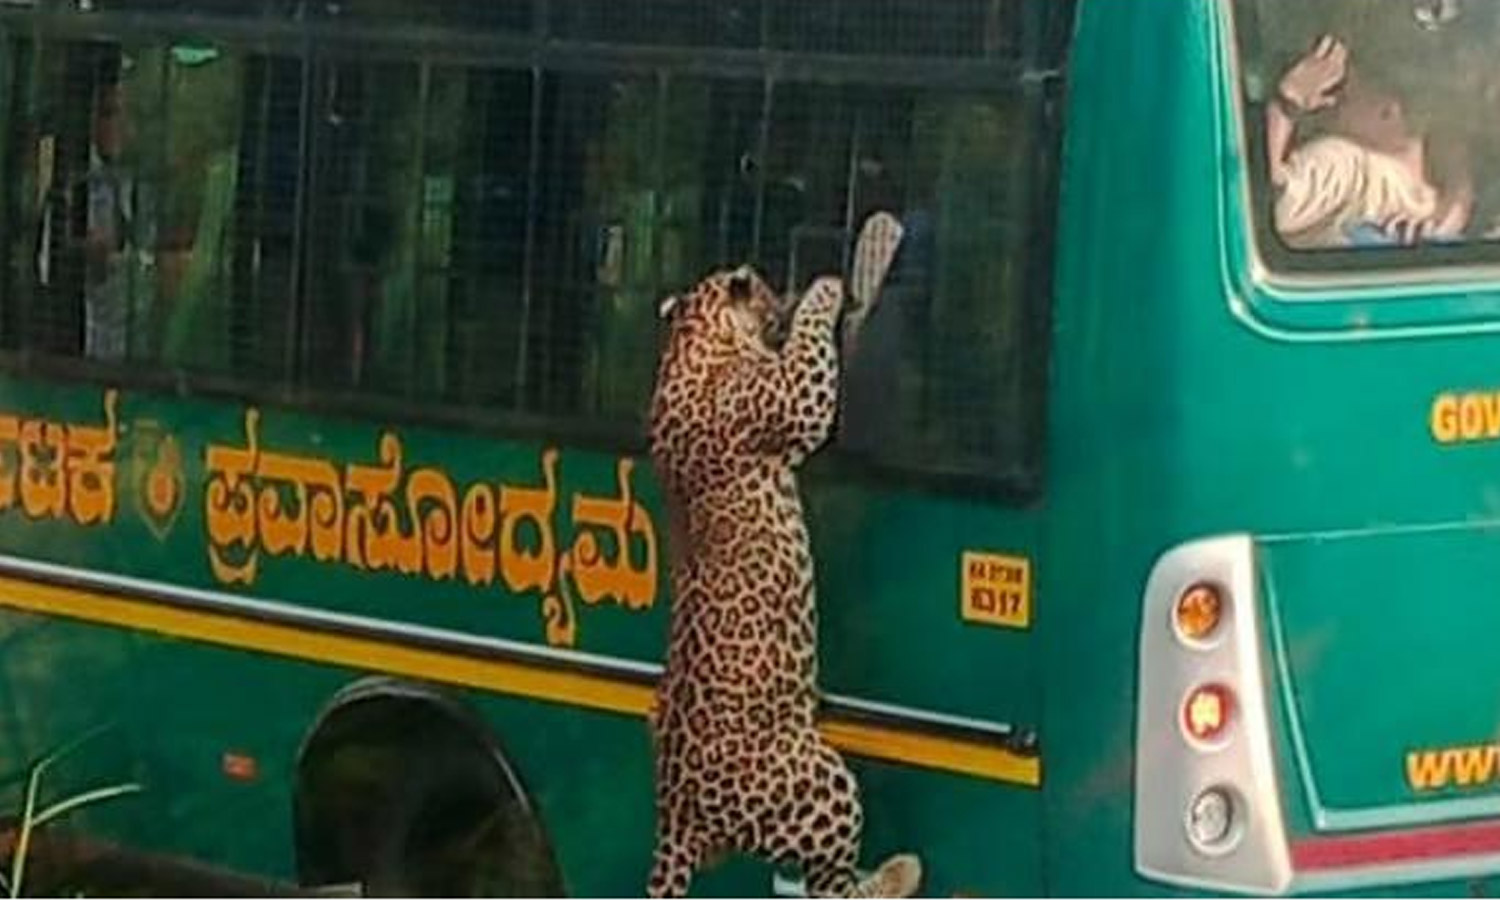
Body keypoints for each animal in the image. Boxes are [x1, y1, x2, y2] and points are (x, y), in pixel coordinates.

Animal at [645, 263, 921, 898]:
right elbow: (808, 352)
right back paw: (901, 871)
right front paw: (826, 289)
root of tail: (675, 815)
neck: (689, 340)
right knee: (832, 886)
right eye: (768, 292)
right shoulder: (796, 397)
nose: (781, 295)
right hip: (824, 785)